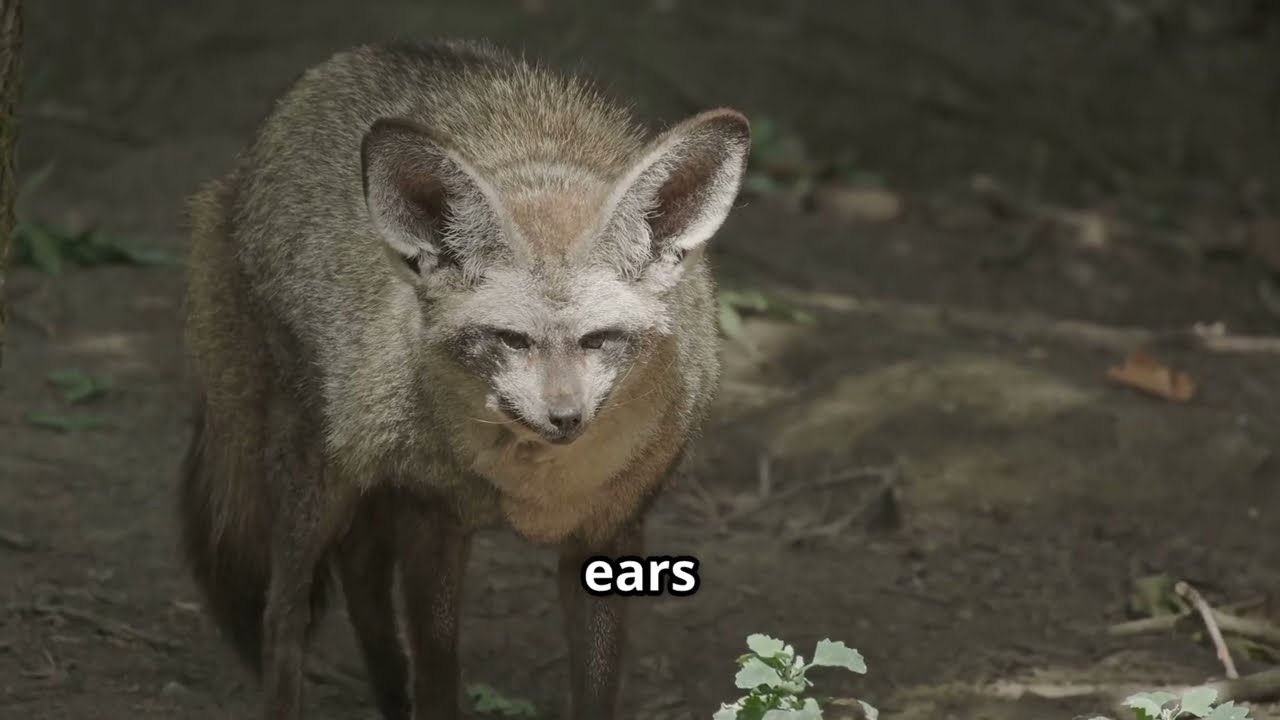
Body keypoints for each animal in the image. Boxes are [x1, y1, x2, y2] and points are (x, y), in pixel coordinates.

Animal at [178, 38, 750, 720]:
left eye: (598, 339)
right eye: (511, 339)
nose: (565, 418)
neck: (539, 489)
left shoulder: (611, 535)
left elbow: (594, 693)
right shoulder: (432, 518)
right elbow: (438, 676)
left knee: (365, 597)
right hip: (317, 485)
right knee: (283, 620)